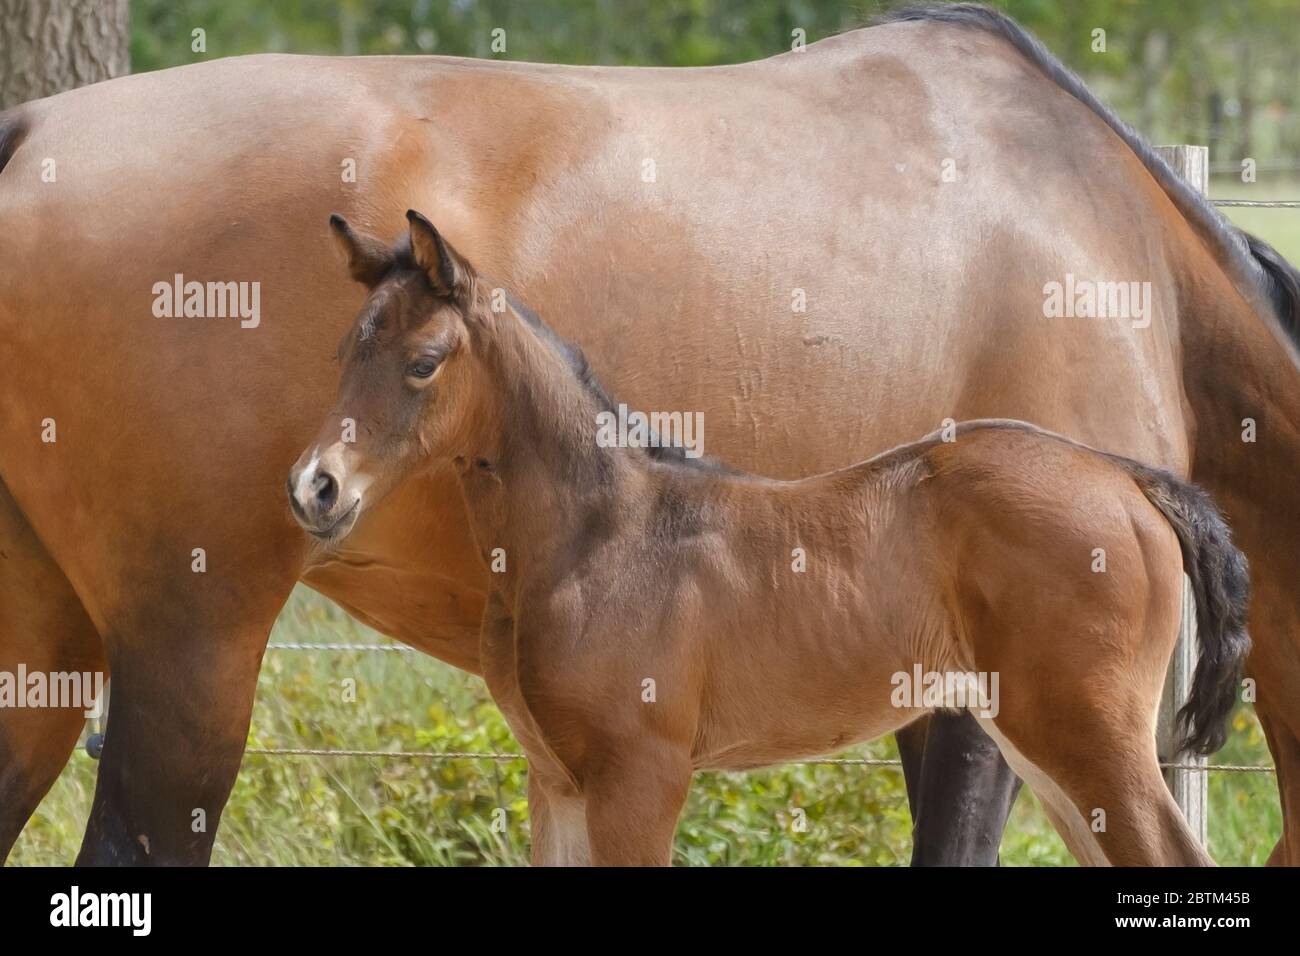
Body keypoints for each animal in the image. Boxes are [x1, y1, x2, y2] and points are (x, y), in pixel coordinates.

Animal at [287, 210, 1250, 866]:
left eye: (423, 363)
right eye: (342, 353)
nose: (313, 488)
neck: (596, 538)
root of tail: (1124, 475)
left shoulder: (640, 777)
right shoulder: (555, 779)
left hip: (1089, 738)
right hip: (1042, 742)